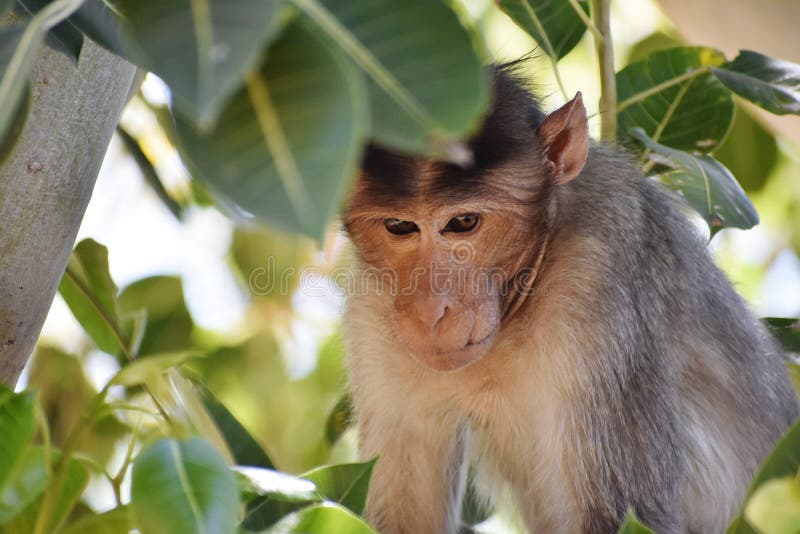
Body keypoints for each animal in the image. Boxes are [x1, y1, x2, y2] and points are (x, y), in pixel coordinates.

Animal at [341, 63, 798, 534]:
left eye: (463, 222)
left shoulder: (599, 284)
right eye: (399, 227)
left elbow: (625, 514)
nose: (431, 310)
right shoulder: (372, 311)